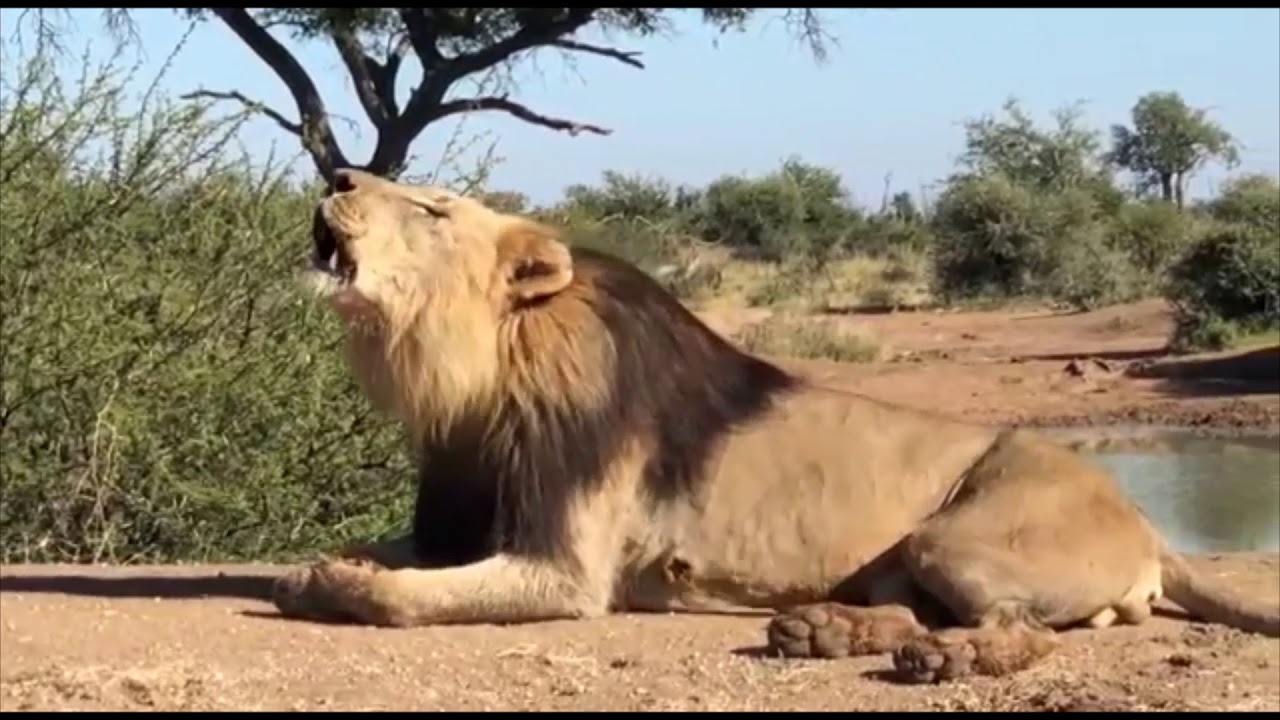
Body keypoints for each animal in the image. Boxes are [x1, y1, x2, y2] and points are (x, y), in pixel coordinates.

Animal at [274, 168, 1279, 684]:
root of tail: (1149, 526)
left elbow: (405, 596)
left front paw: (334, 580)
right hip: (911, 561)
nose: (336, 173)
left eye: (432, 207)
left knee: (1023, 632)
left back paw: (947, 658)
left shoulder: (565, 567)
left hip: (964, 533)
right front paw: (317, 564)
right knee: (908, 606)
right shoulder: (458, 509)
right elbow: (401, 556)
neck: (476, 371)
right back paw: (826, 634)